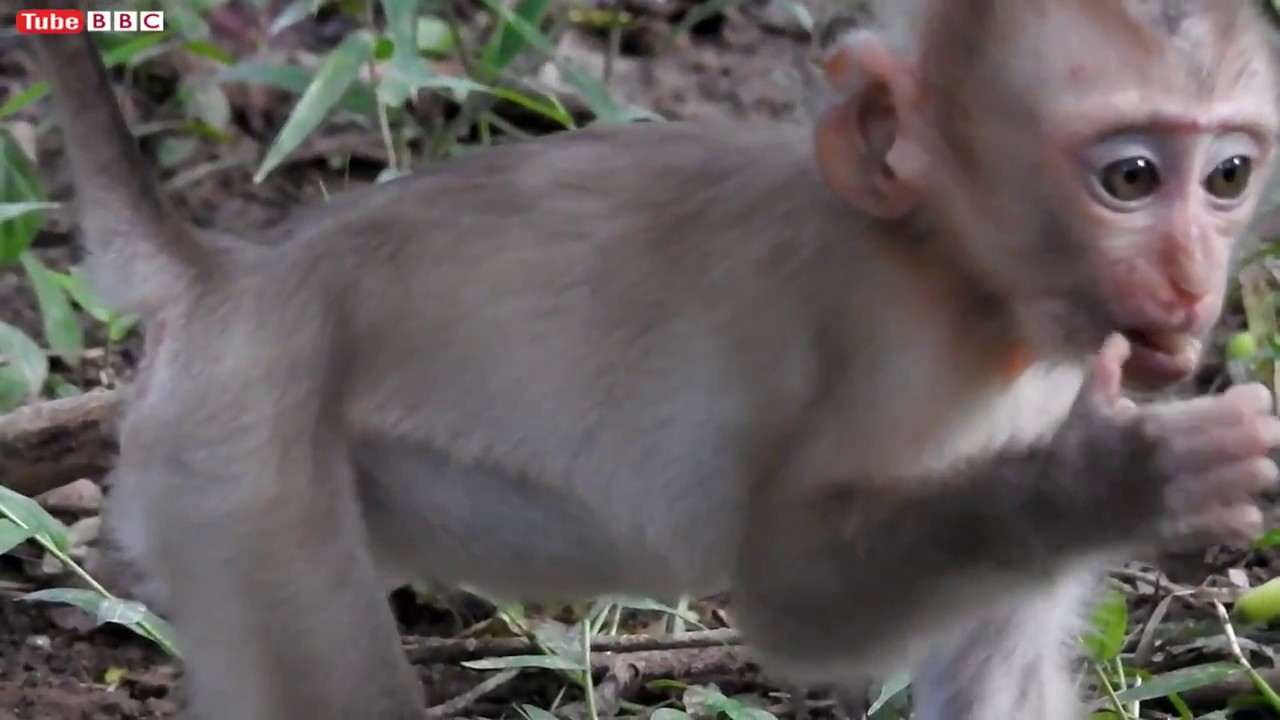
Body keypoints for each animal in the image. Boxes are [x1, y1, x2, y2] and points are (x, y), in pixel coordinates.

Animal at [19, 0, 1280, 718]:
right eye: (1128, 177)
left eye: (1227, 175)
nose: (1188, 280)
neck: (959, 275)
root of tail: (233, 278)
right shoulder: (900, 356)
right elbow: (790, 596)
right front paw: (1114, 478)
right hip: (243, 471)